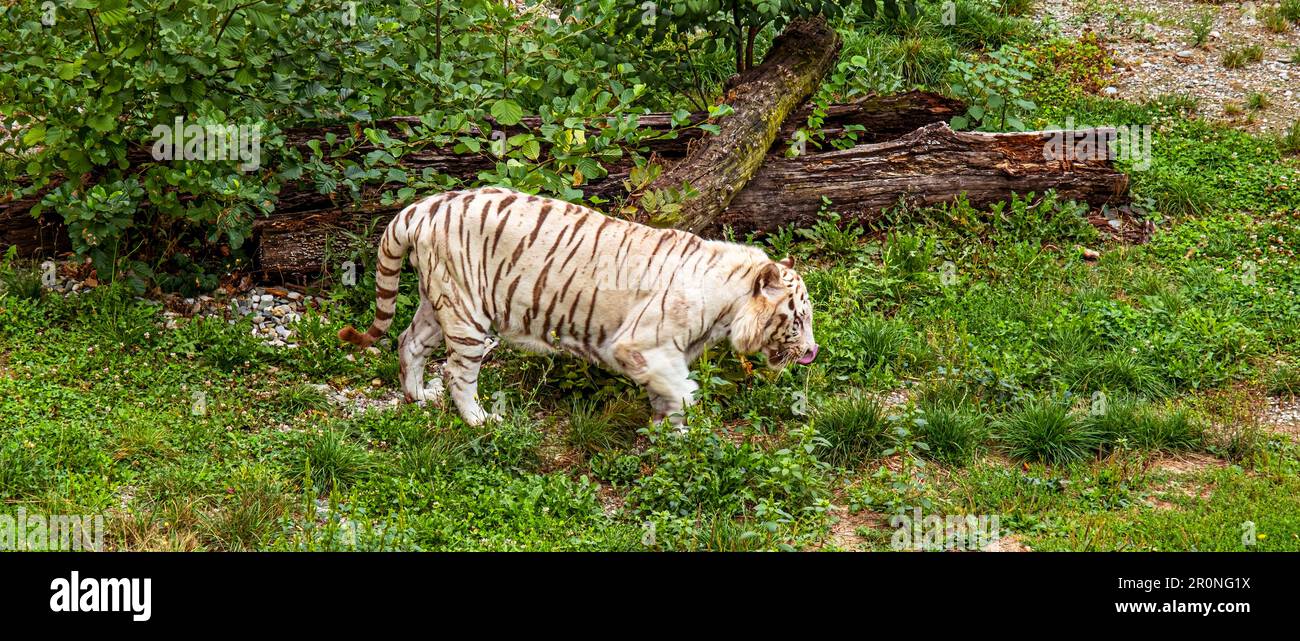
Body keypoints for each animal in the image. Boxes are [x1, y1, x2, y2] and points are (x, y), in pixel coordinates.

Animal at [338, 186, 819, 427]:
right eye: (797, 319)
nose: (813, 352)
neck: (726, 307)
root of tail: (423, 206)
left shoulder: (666, 355)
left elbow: (667, 397)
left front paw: (670, 434)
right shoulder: (640, 346)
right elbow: (679, 389)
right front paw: (681, 419)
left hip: (438, 301)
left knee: (409, 341)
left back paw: (418, 395)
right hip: (466, 312)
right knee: (457, 372)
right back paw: (480, 421)